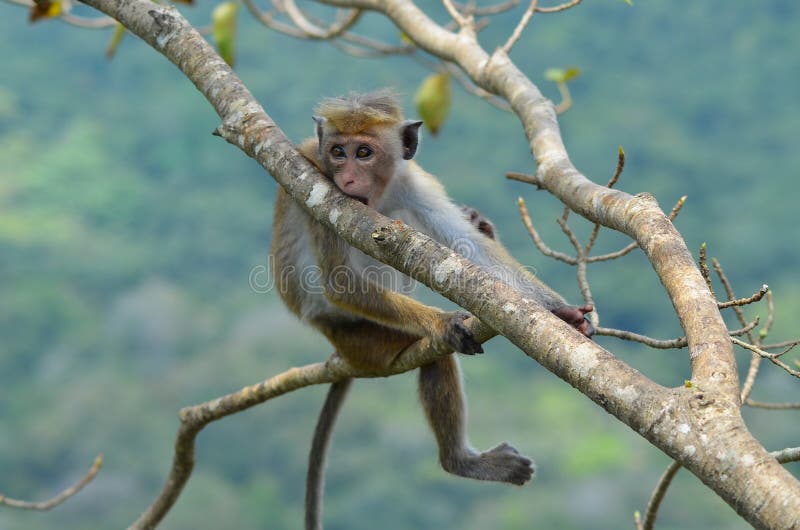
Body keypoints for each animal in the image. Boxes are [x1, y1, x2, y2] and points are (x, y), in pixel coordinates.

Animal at [270, 90, 594, 530]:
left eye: (363, 152)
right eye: (337, 152)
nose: (347, 179)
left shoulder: (413, 184)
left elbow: (469, 246)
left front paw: (560, 312)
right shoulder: (315, 183)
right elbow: (341, 281)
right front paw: (443, 320)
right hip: (364, 339)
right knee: (430, 351)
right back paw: (459, 462)